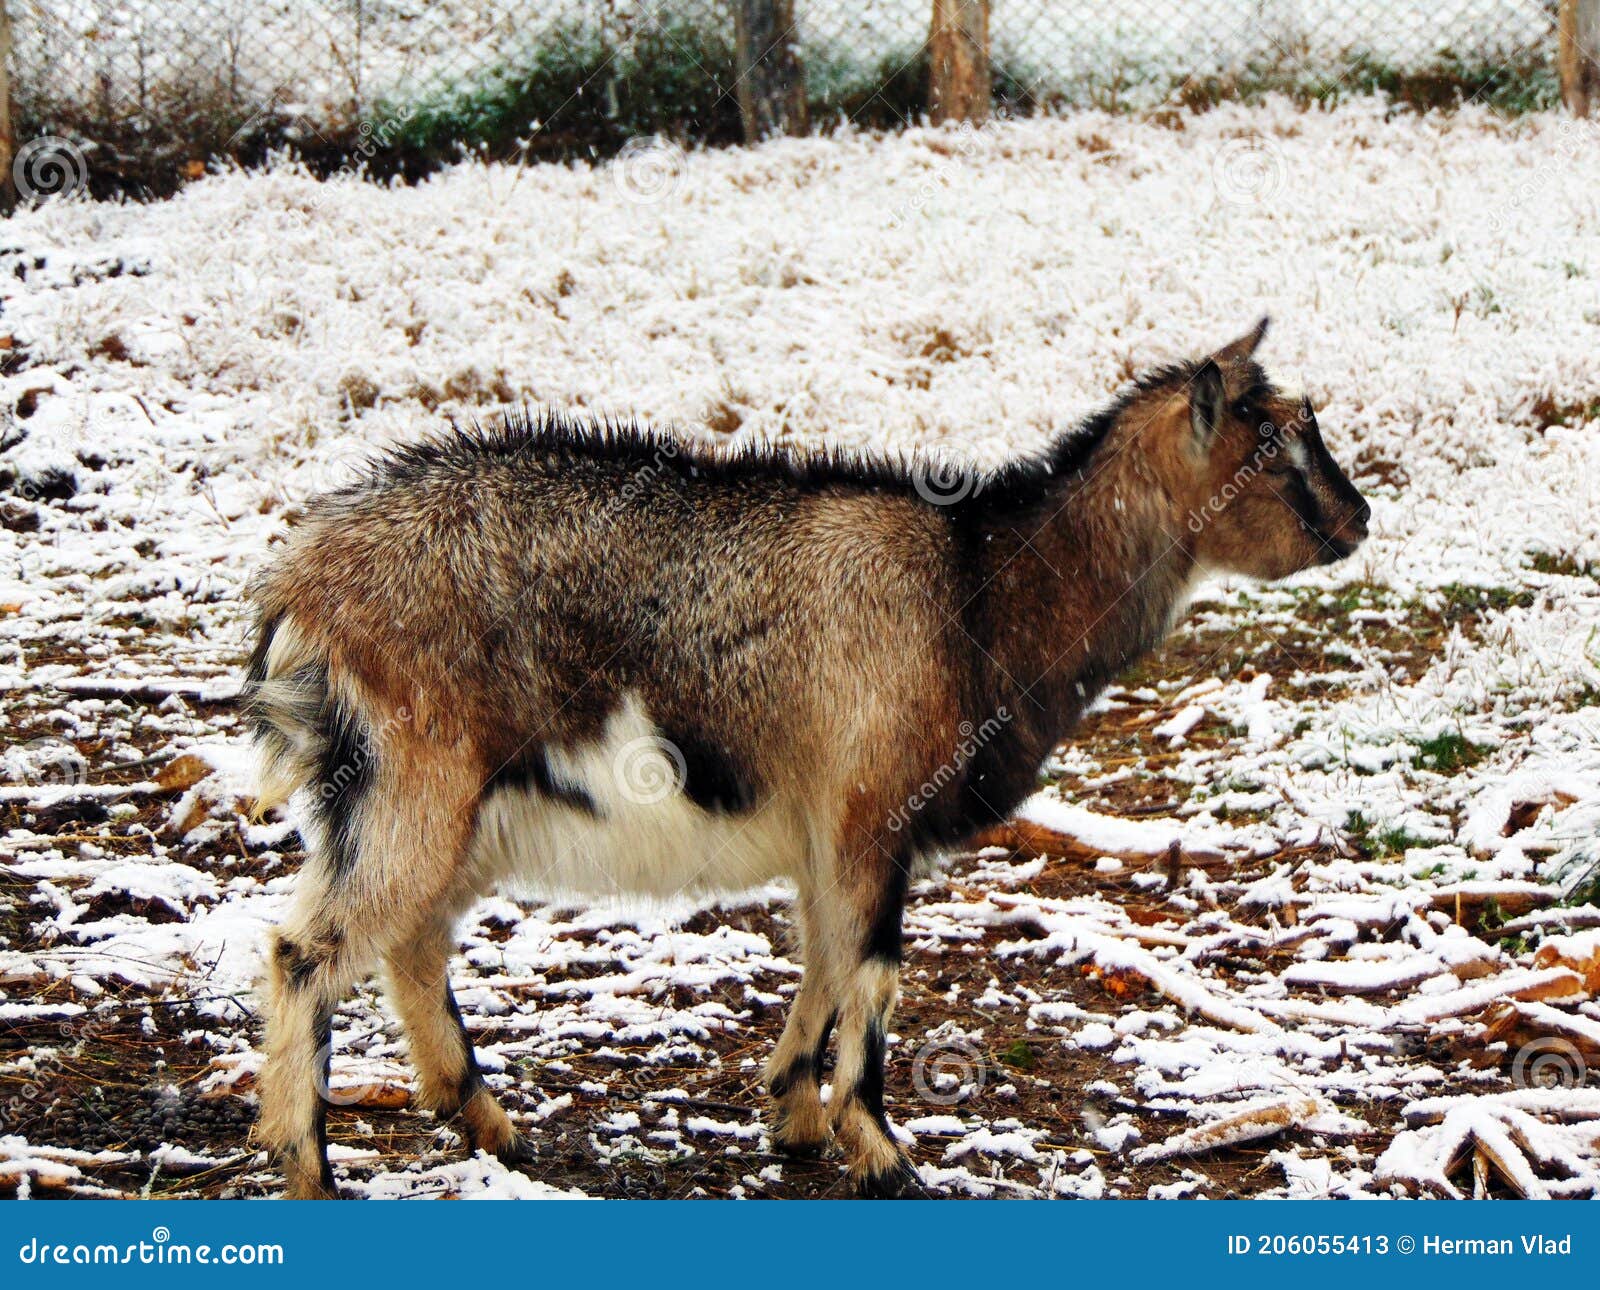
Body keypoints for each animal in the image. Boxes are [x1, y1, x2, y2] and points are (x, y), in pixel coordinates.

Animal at [243, 320, 1369, 1197]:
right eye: (1276, 446)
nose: (1358, 519)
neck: (975, 590)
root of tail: (302, 580)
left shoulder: (833, 828)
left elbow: (824, 956)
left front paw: (791, 1112)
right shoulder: (870, 805)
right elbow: (871, 971)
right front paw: (881, 1151)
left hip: (440, 802)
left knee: (412, 941)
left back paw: (484, 1123)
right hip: (417, 778)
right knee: (310, 949)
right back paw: (311, 1167)